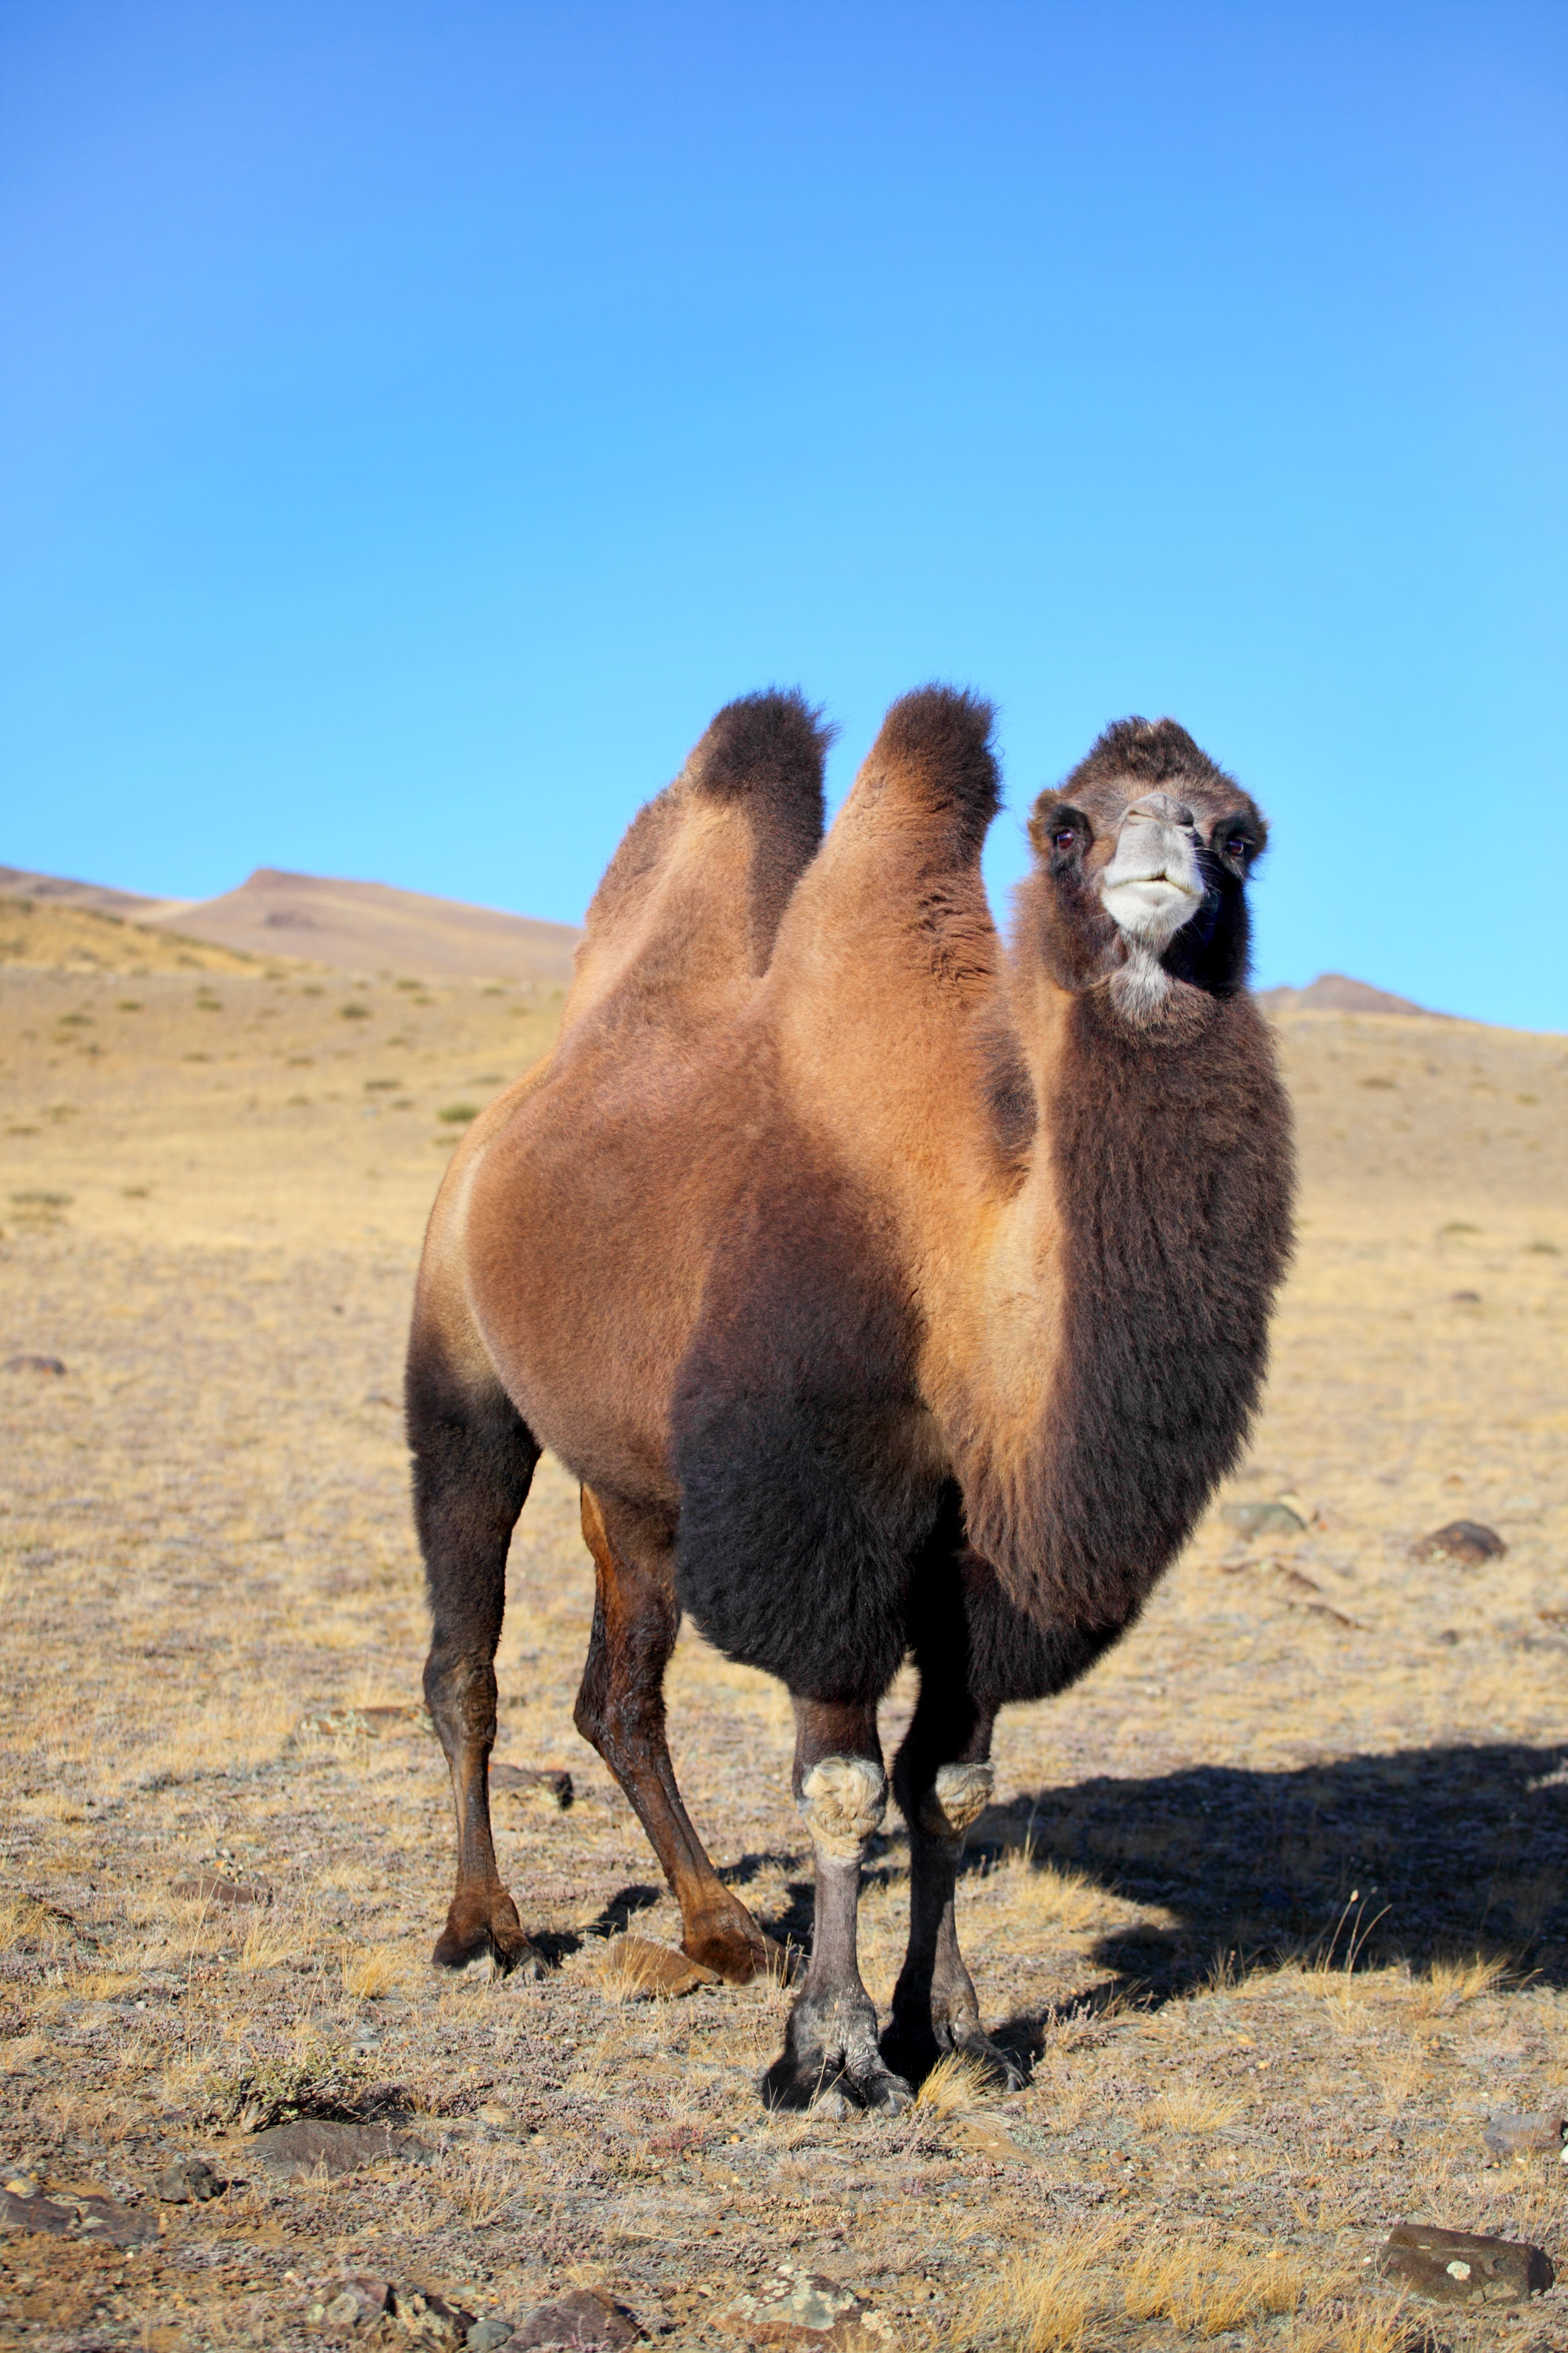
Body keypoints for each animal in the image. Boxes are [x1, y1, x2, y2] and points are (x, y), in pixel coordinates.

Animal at [407, 685, 1293, 2113]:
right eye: (1066, 825)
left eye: (1237, 833)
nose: (1164, 870)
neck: (960, 1260)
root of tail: (507, 1123)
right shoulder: (825, 1511)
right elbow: (840, 1785)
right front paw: (830, 2055)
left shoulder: (978, 1557)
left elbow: (954, 1788)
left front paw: (958, 2030)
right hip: (459, 1365)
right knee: (464, 1657)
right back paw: (482, 1928)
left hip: (640, 1485)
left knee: (619, 1696)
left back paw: (719, 1926)